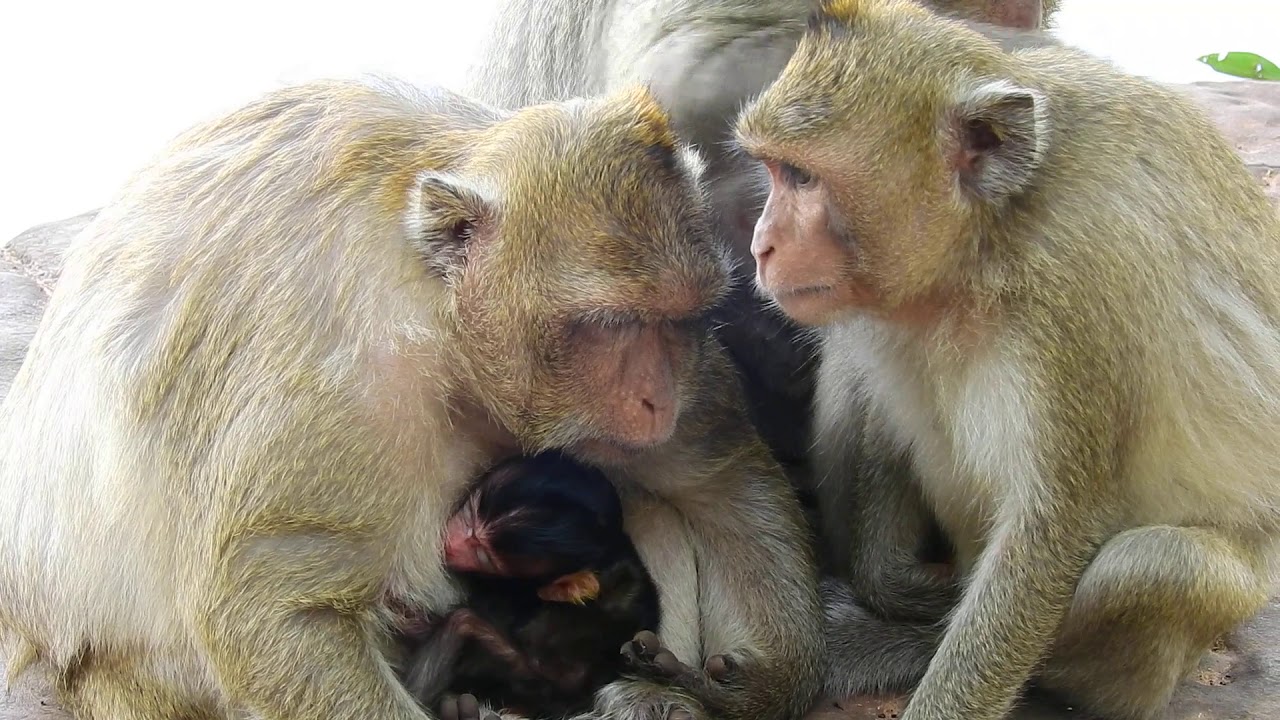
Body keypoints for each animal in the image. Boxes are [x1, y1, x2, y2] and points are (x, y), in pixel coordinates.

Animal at [731, 1, 1280, 718]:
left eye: (801, 176)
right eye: (771, 170)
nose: (760, 245)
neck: (987, 240)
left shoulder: (1073, 296)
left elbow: (1051, 533)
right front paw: (894, 583)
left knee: (1160, 566)